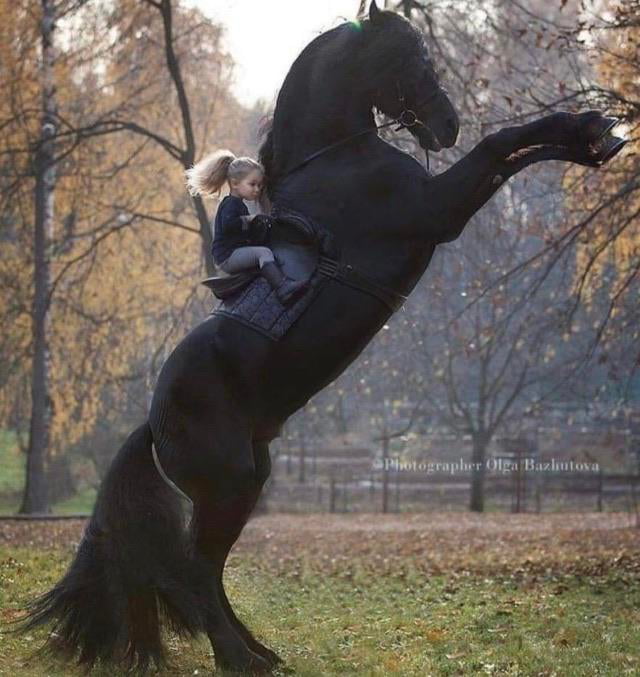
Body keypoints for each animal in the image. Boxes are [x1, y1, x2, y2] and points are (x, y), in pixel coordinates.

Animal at [21, 1, 624, 673]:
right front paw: (591, 127)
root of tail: (153, 423)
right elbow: (503, 146)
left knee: (212, 571)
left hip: (247, 480)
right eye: (409, 57)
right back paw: (239, 658)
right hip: (228, 483)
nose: (446, 126)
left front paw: (596, 136)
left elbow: (511, 153)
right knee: (196, 571)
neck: (339, 160)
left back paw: (263, 652)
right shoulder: (438, 209)